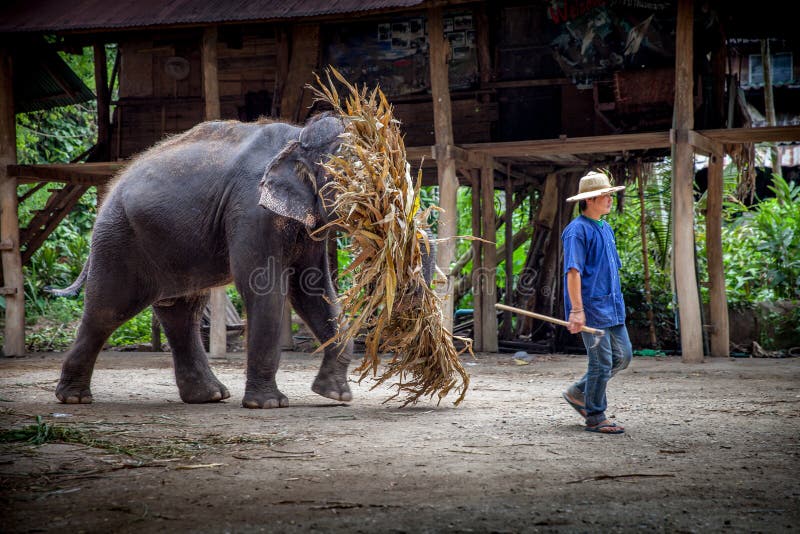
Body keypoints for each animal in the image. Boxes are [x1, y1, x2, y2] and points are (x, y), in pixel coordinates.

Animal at [51, 112, 371, 409]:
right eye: (355, 170)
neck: (298, 136)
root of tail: (111, 188)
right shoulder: (252, 209)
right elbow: (264, 288)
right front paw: (268, 404)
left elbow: (312, 288)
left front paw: (336, 394)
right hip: (118, 241)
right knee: (108, 310)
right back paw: (74, 398)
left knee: (182, 312)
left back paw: (209, 396)